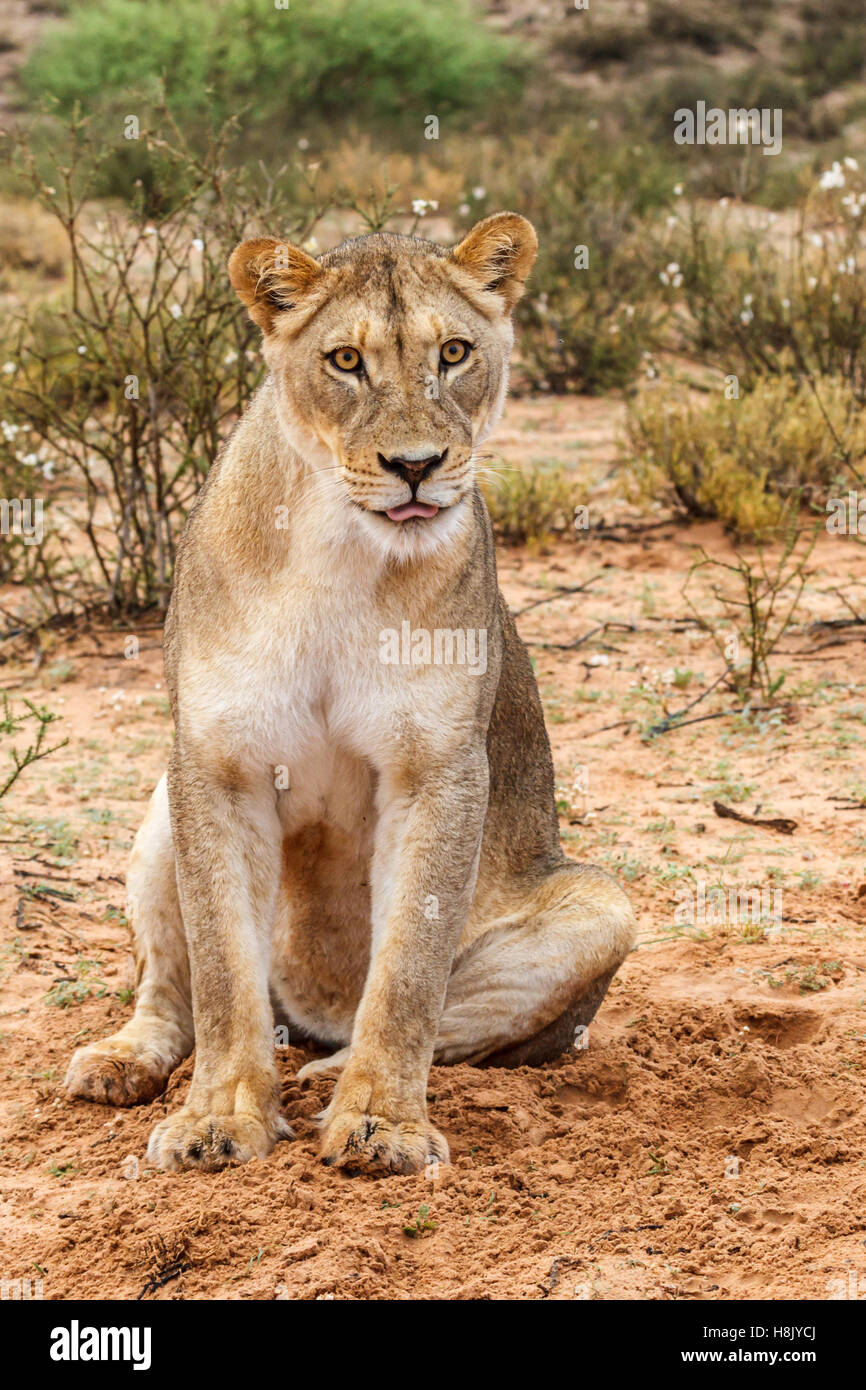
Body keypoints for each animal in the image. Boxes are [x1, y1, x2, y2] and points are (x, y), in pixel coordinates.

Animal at [65, 212, 636, 1175]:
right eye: (344, 361)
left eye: (454, 353)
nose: (416, 466)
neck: (340, 549)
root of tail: (311, 1014)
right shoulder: (216, 764)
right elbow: (221, 970)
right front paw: (219, 1118)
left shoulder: (439, 769)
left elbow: (407, 973)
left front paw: (381, 1124)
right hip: (156, 815)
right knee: (173, 994)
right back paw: (121, 1062)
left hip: (602, 910)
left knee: (437, 1022)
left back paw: (325, 1074)